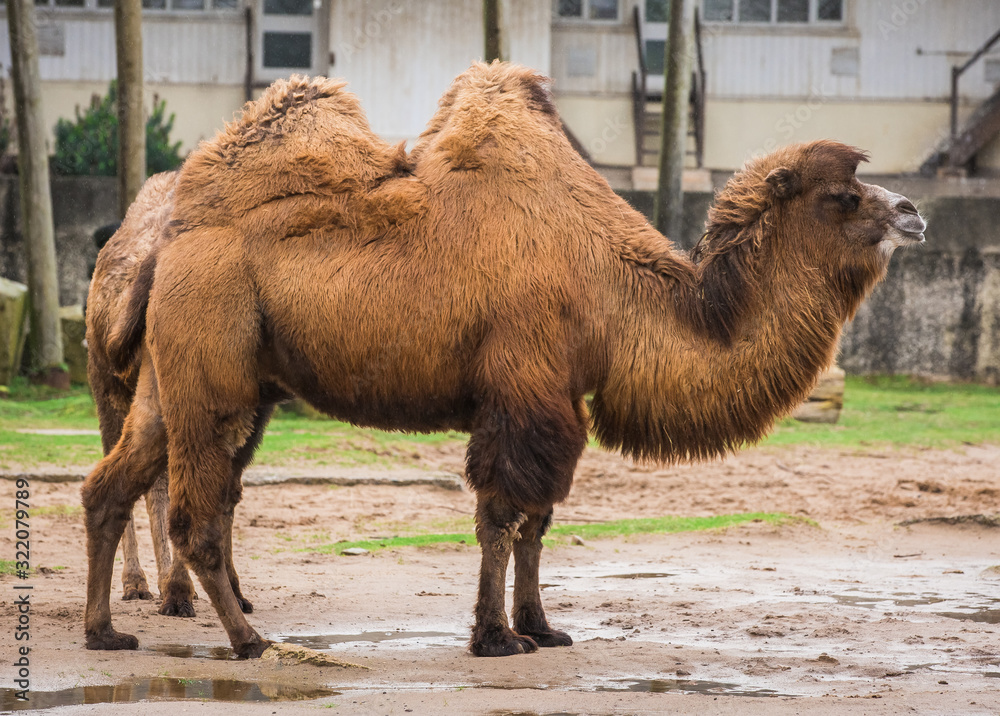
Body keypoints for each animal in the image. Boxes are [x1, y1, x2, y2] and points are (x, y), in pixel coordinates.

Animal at [80, 62, 925, 659]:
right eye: (844, 195)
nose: (913, 212)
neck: (614, 286)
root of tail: (165, 240)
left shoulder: (558, 399)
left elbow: (537, 522)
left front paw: (541, 627)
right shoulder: (523, 391)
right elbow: (501, 515)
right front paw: (495, 637)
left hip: (184, 377)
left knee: (112, 485)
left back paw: (106, 631)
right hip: (214, 370)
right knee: (197, 509)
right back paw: (249, 640)